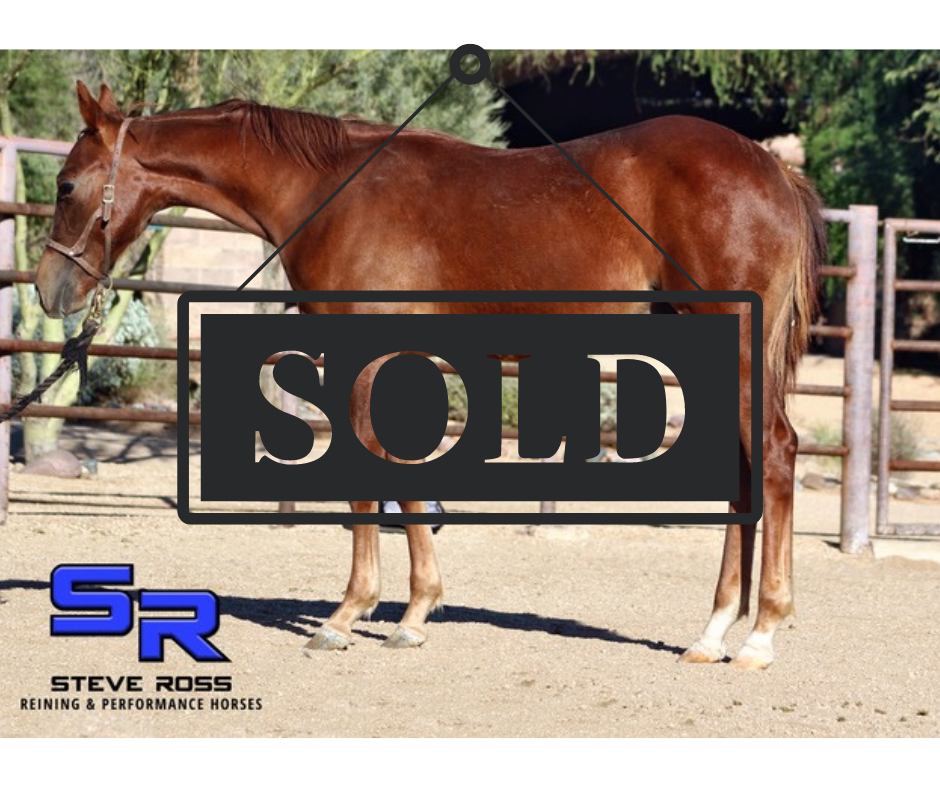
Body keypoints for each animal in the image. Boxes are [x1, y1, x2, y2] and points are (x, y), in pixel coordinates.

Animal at [34, 81, 825, 669]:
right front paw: (414, 612)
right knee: (744, 472)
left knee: (776, 454)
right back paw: (712, 633)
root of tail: (771, 169)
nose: (49, 291)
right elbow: (405, 479)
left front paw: (347, 616)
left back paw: (760, 634)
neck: (329, 187)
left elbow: (368, 476)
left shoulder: (358, 357)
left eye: (66, 184)